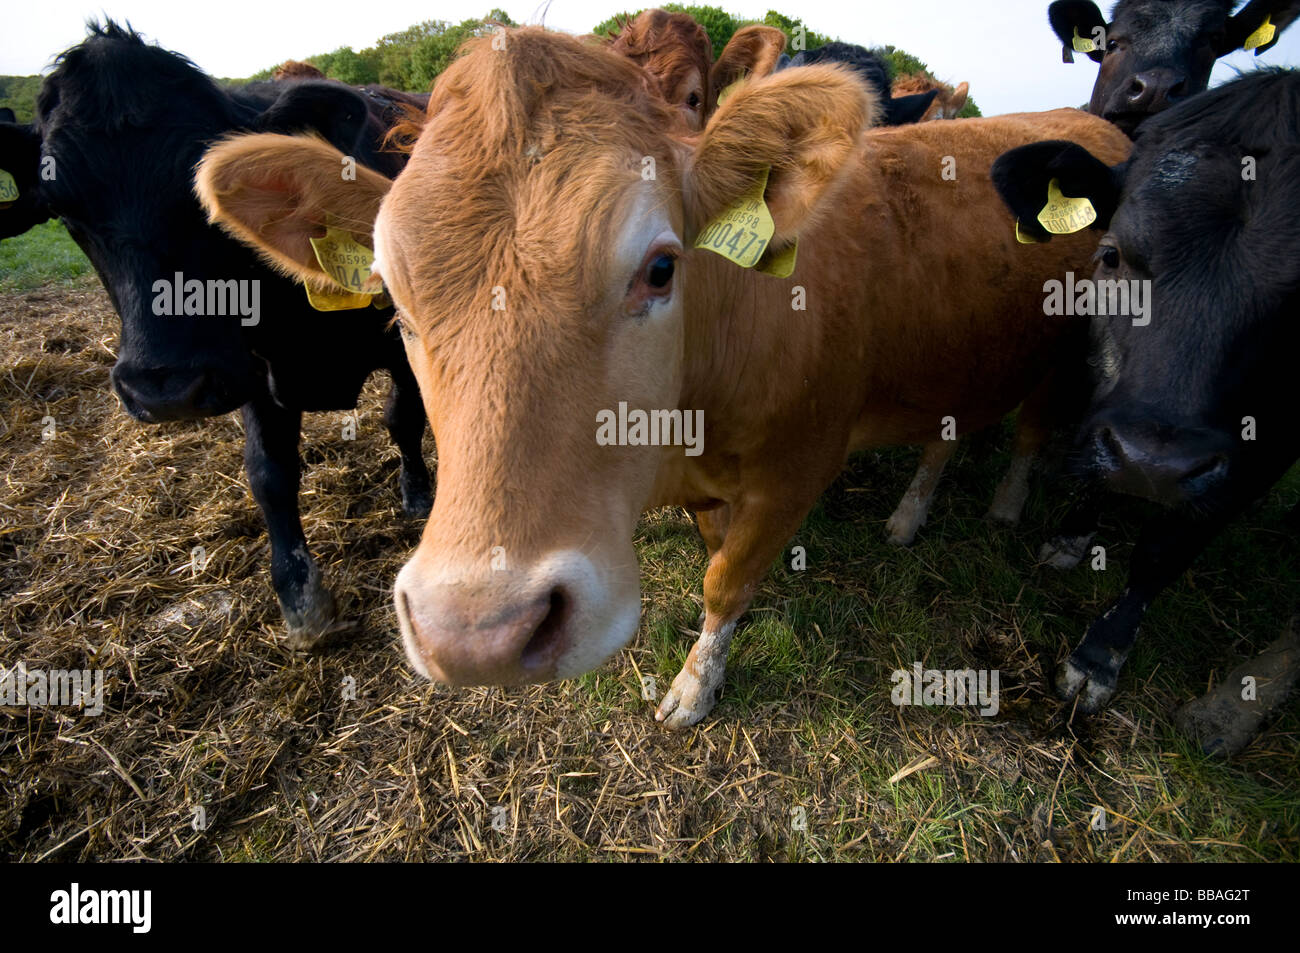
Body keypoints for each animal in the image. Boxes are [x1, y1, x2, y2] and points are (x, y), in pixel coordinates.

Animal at [0, 22, 432, 647]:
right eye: (62, 208)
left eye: (203, 198)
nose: (165, 390)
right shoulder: (250, 365)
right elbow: (268, 471)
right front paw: (302, 602)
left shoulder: (401, 340)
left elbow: (403, 418)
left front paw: (419, 494)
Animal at [195, 27, 1130, 727]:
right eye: (394, 297)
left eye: (659, 268)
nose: (477, 633)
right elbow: (719, 556)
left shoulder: (800, 467)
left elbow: (728, 578)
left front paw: (693, 684)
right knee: (947, 428)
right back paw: (910, 514)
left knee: (1031, 428)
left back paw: (1010, 508)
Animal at [992, 68, 1300, 752]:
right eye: (1112, 255)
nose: (1153, 464)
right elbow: (1095, 472)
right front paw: (1072, 537)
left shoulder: (1261, 453)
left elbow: (1164, 550)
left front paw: (1097, 659)